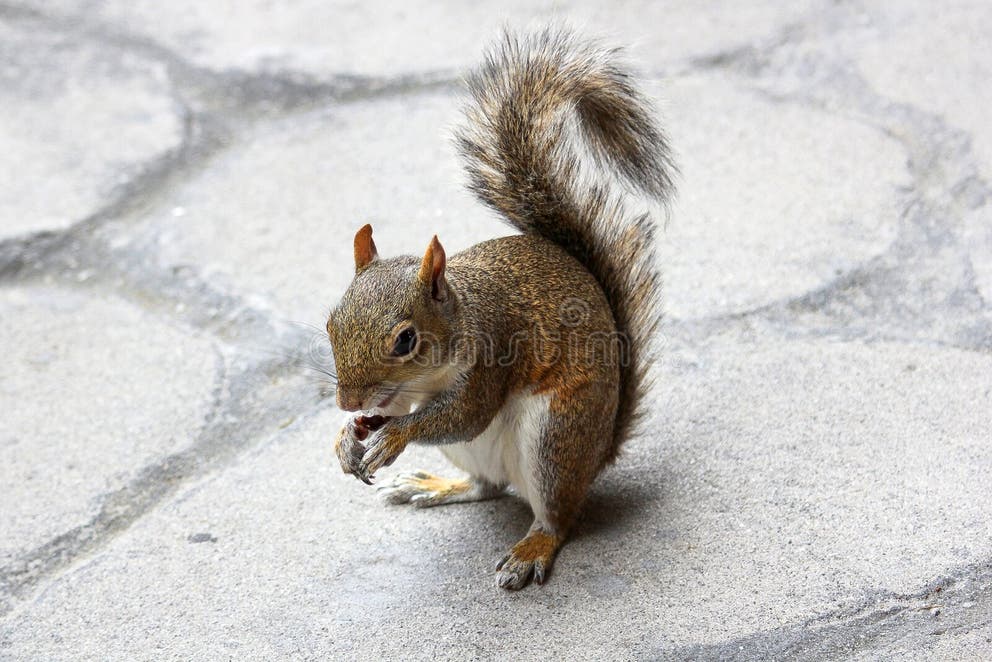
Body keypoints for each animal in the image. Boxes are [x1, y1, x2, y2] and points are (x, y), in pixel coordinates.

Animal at [327, 27, 675, 590]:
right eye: (330, 325)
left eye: (406, 340)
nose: (346, 400)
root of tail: (601, 451)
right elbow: (389, 411)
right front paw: (348, 436)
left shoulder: (493, 354)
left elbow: (464, 414)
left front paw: (393, 434)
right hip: (486, 455)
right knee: (487, 487)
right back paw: (436, 486)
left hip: (556, 437)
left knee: (558, 517)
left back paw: (532, 548)